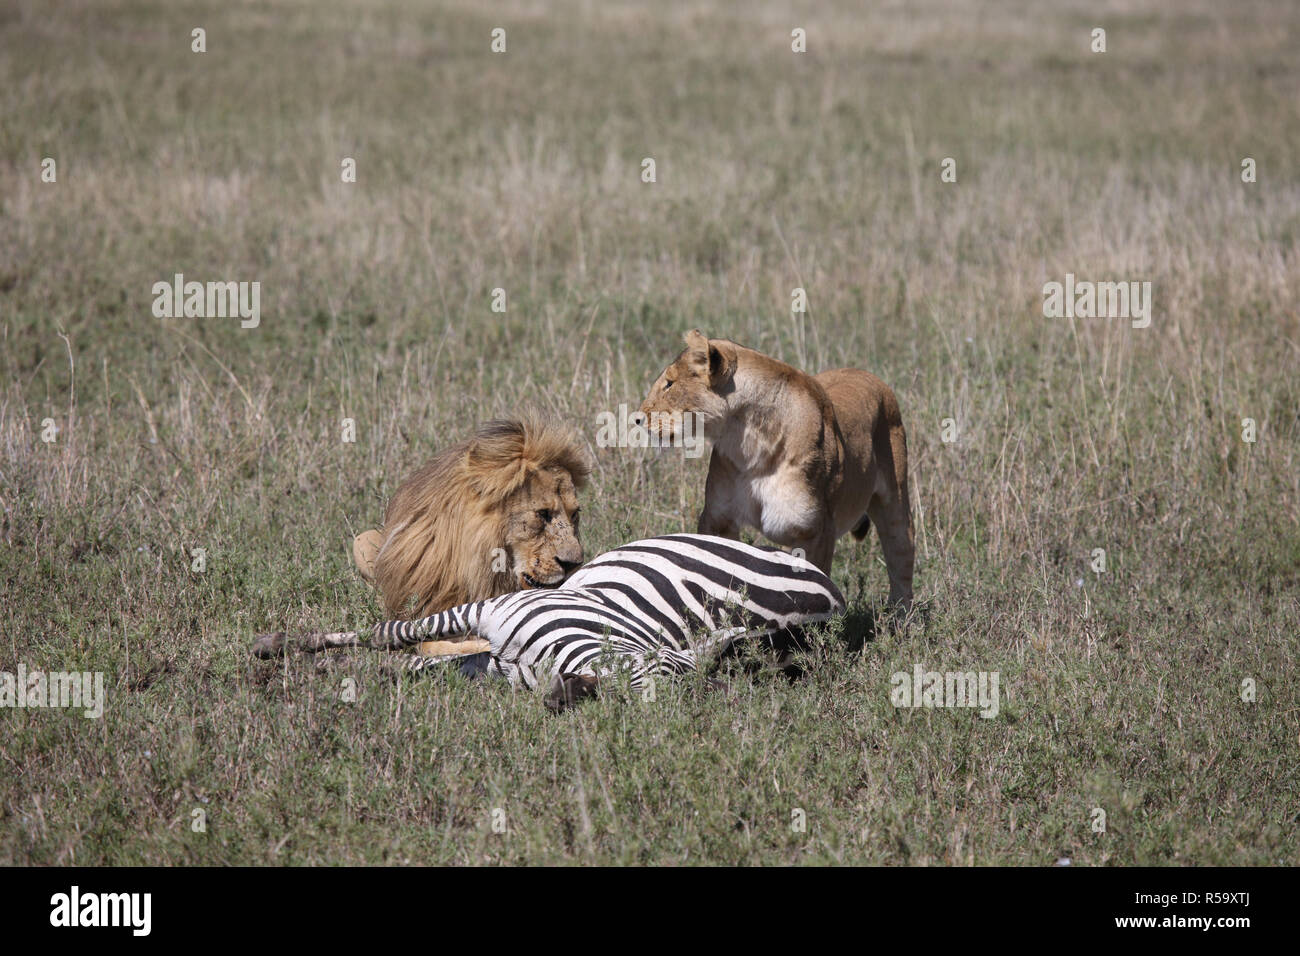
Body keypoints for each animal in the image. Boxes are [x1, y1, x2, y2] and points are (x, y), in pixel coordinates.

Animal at [365, 533, 846, 707]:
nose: (559, 696)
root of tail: (832, 597)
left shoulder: (489, 635)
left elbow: (399, 639)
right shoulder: (487, 626)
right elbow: (398, 637)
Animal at [639, 330, 914, 611]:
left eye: (669, 383)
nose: (638, 418)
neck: (750, 443)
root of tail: (864, 373)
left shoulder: (815, 531)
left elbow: (815, 583)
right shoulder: (717, 519)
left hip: (895, 502)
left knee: (901, 554)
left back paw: (900, 615)